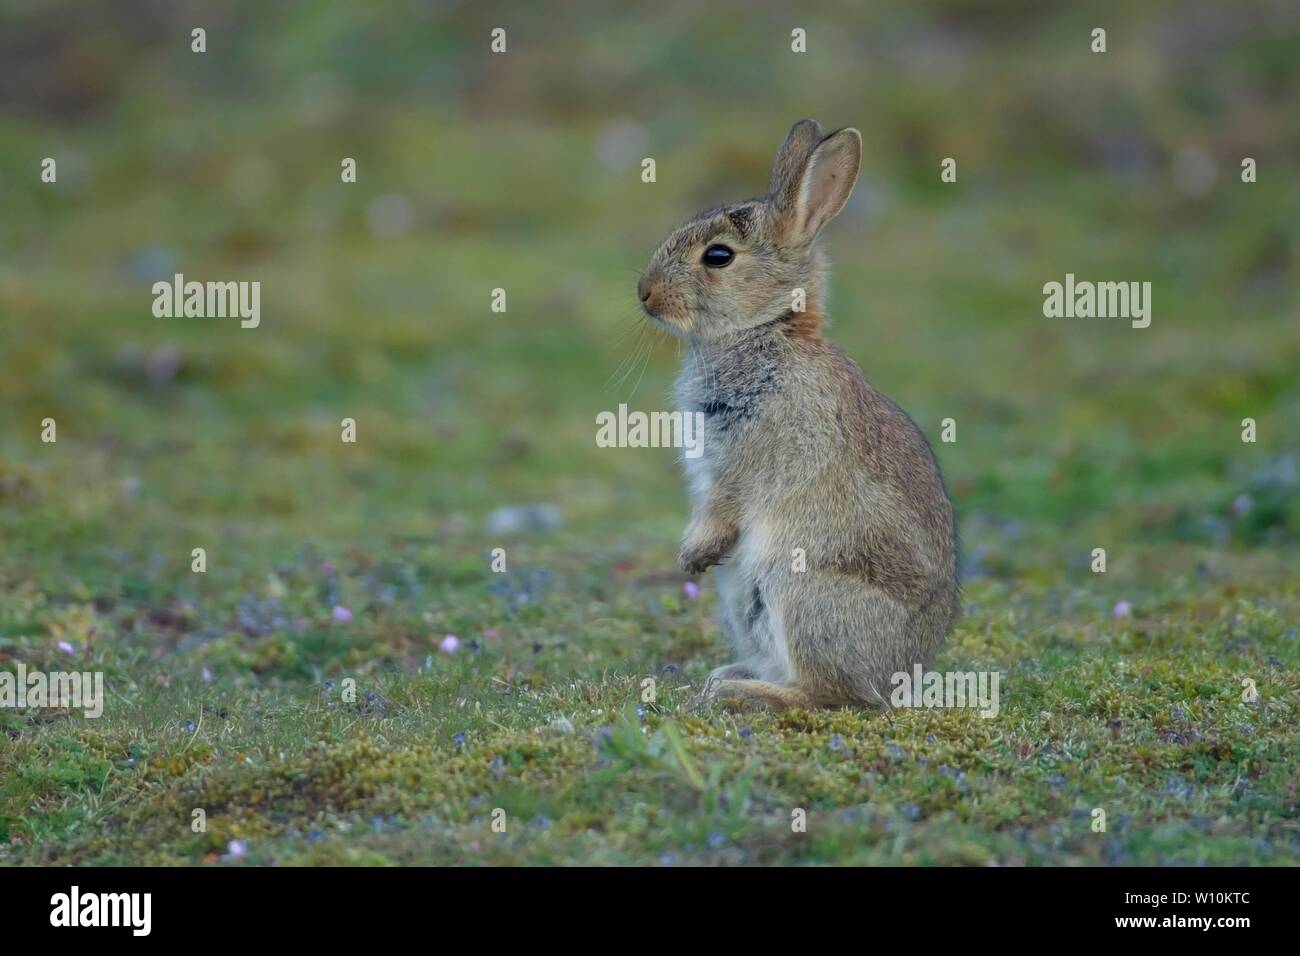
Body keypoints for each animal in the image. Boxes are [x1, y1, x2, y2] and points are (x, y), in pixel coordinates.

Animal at [636, 119, 959, 710]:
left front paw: (692, 556)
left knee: (827, 693)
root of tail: (902, 678)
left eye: (718, 256)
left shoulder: (755, 456)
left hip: (803, 590)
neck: (767, 331)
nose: (645, 294)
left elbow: (726, 502)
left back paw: (737, 692)